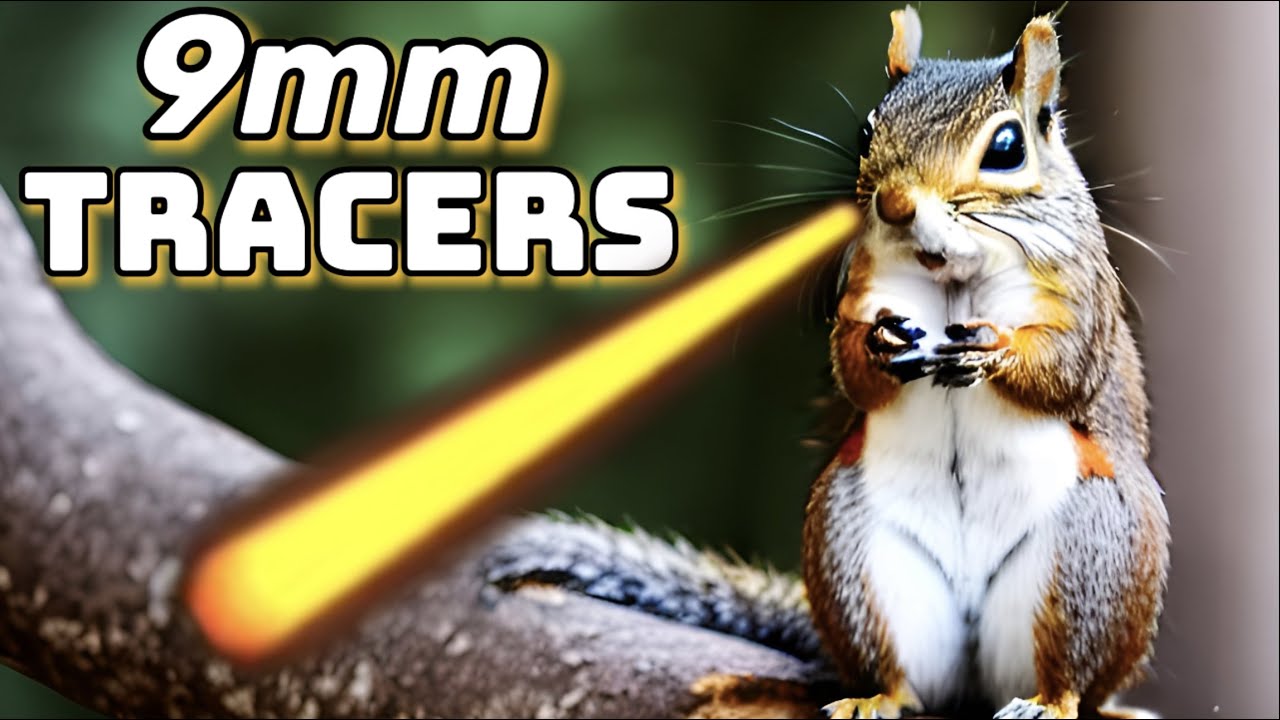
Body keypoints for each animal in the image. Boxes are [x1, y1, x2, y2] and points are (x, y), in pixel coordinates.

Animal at [484, 7, 1169, 720]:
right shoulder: (865, 289)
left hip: (1095, 549)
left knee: (1072, 672)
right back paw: (877, 697)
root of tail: (975, 682)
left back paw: (1049, 700)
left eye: (1007, 148)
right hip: (853, 549)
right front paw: (877, 347)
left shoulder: (1081, 296)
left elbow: (1067, 368)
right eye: (869, 129)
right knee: (899, 672)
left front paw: (993, 347)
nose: (894, 204)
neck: (952, 275)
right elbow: (853, 368)